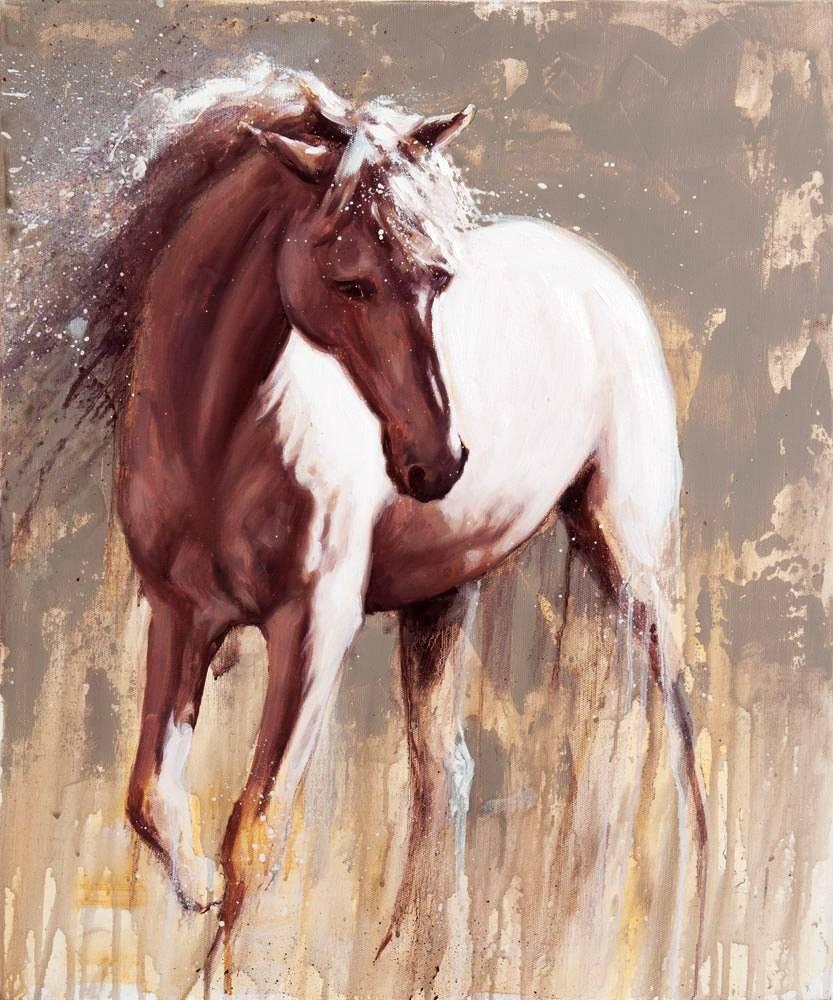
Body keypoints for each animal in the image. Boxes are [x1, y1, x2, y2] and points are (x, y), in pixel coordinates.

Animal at [109, 68, 706, 978]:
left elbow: (256, 831)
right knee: (441, 777)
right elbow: (151, 798)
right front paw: (196, 889)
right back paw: (412, 959)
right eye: (349, 280)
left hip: (626, 558)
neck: (218, 438)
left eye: (439, 278)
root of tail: (595, 272)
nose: (439, 461)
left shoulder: (312, 632)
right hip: (440, 602)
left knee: (673, 718)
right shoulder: (180, 618)